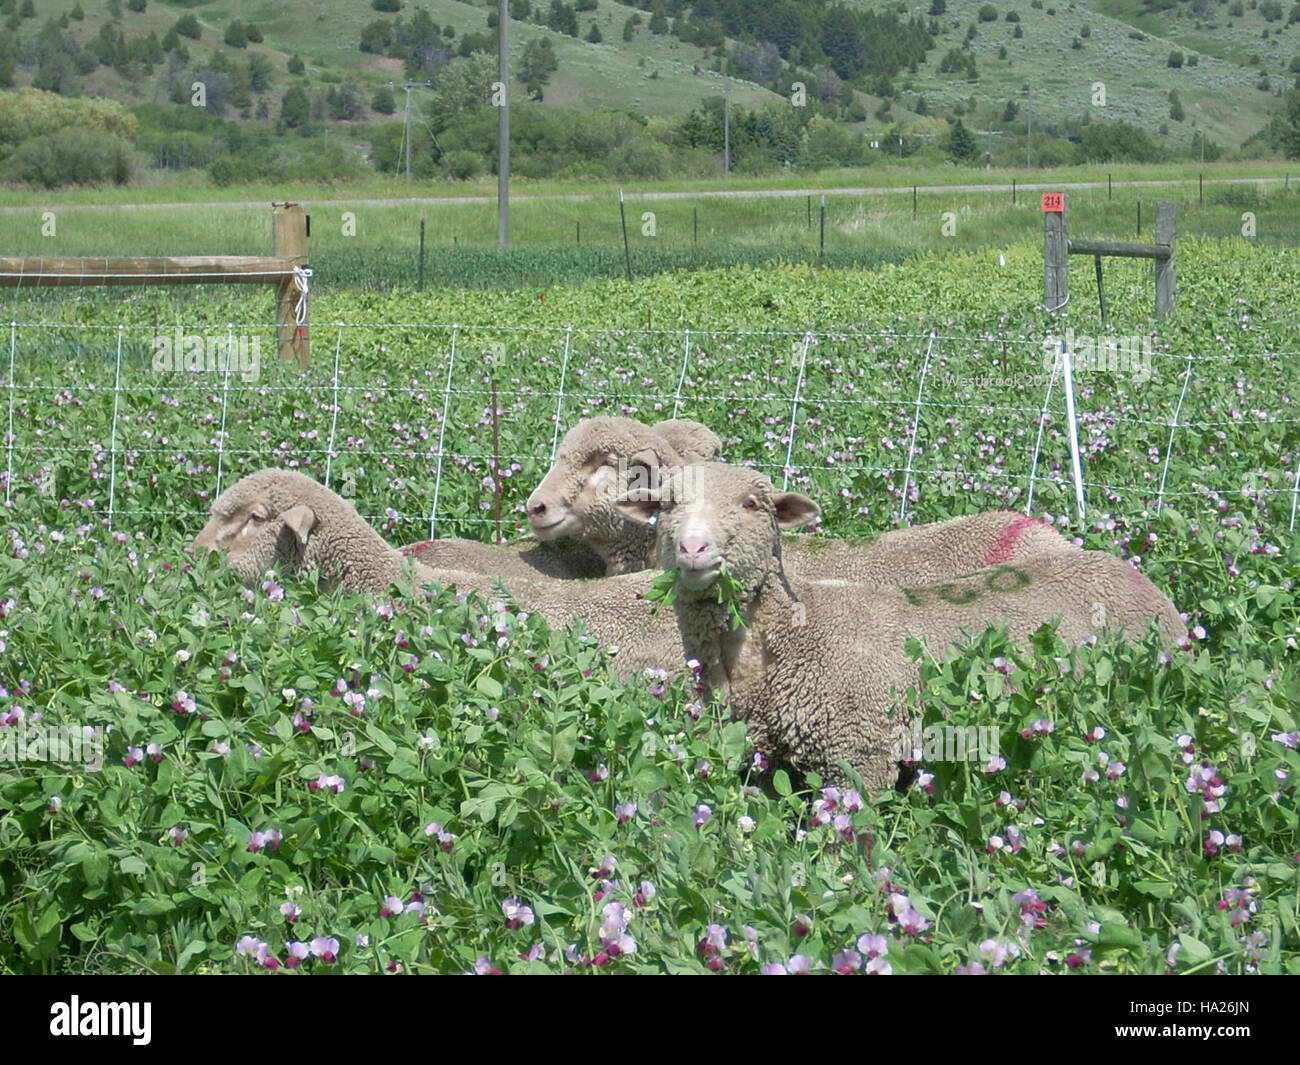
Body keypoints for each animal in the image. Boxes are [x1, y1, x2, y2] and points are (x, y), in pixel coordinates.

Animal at [617, 462, 1184, 791]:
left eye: (751, 504)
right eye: (666, 506)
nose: (693, 548)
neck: (785, 636)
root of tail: (1127, 570)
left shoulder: (859, 754)